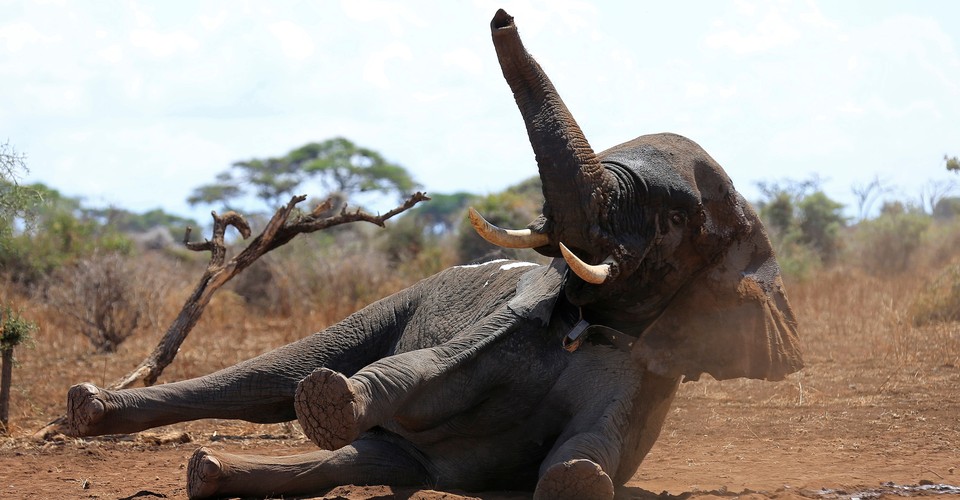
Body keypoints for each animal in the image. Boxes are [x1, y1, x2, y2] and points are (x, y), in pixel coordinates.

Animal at [64, 10, 802, 500]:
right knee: (268, 380)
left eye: (674, 218)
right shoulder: (512, 316)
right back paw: (88, 407)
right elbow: (417, 371)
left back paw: (209, 470)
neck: (592, 318)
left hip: (400, 460)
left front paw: (573, 474)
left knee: (353, 463)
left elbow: (585, 459)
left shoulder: (646, 366)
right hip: (401, 299)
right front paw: (330, 399)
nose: (502, 14)